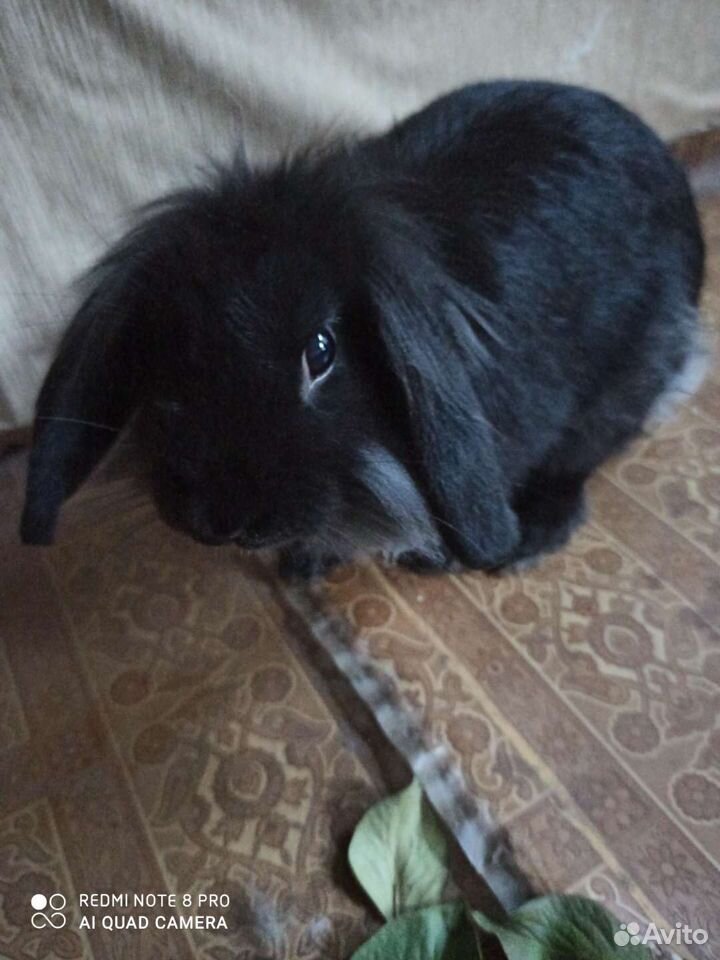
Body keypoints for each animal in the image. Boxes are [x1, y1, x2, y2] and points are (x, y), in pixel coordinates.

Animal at [20, 81, 706, 579]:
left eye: (321, 351)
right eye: (168, 360)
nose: (224, 519)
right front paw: (304, 565)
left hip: (628, 377)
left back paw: (533, 532)